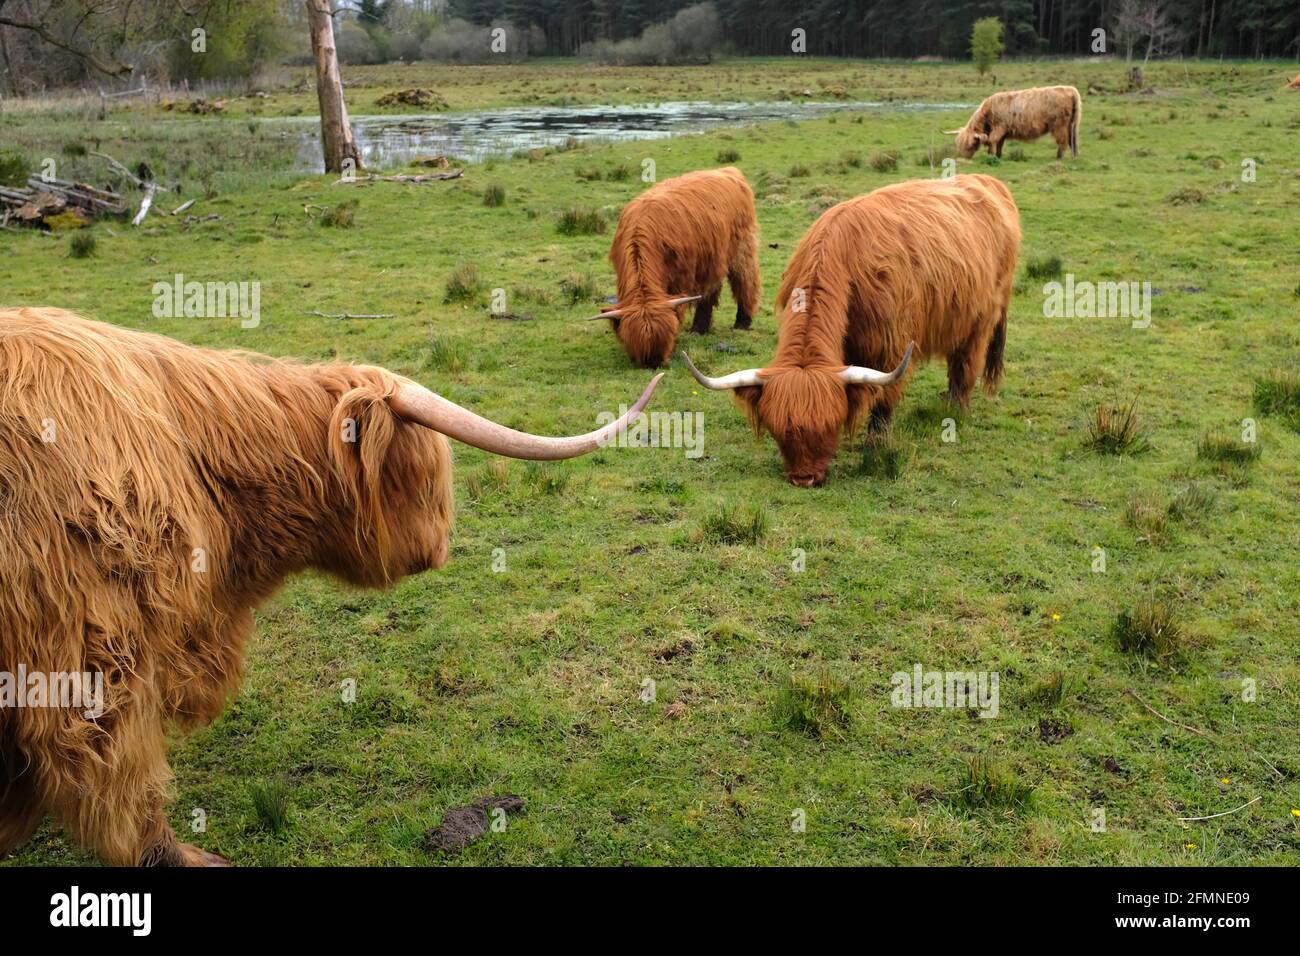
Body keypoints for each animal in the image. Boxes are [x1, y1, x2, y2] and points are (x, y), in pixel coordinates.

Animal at [588, 166, 762, 368]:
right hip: (712, 259)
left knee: (746, 282)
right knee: (711, 290)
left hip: (741, 249)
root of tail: (727, 170)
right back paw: (701, 327)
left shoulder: (681, 277)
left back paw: (741, 321)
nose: (653, 362)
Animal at [683, 174, 1020, 488]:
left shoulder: (891, 344)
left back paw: (956, 408)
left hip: (982, 318)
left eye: (830, 426)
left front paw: (875, 443)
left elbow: (884, 397)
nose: (804, 479)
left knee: (966, 364)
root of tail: (987, 181)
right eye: (778, 430)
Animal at [944, 85, 1082, 159]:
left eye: (971, 143)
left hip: (1060, 125)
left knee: (1063, 141)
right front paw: (998, 155)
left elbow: (992, 140)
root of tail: (1070, 90)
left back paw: (1059, 157)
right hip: (1071, 125)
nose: (964, 157)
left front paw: (991, 155)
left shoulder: (1000, 127)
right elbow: (999, 144)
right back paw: (1074, 157)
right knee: (1073, 141)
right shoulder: (1003, 132)